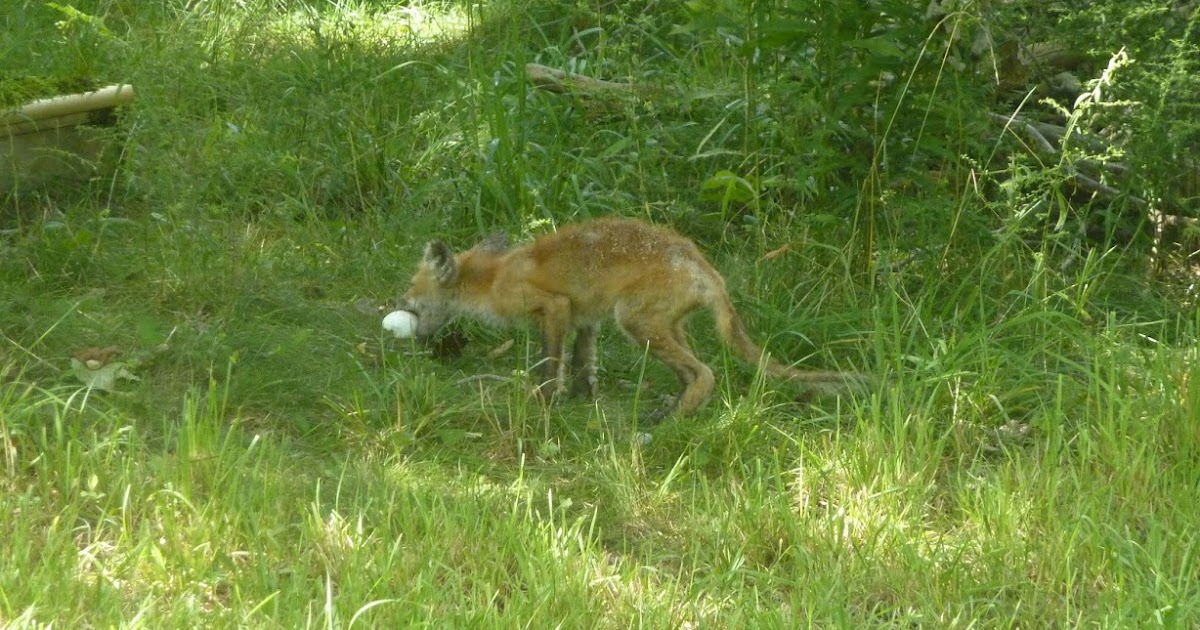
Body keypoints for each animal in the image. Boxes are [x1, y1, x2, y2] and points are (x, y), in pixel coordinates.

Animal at [398, 216, 868, 417]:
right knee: (693, 373)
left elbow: (551, 363)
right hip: (665, 327)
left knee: (706, 374)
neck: (494, 278)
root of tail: (706, 268)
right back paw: (673, 407)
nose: (397, 304)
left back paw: (672, 421)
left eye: (412, 291)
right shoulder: (584, 317)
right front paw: (581, 400)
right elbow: (584, 364)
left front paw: (545, 402)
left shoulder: (554, 308)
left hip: (635, 322)